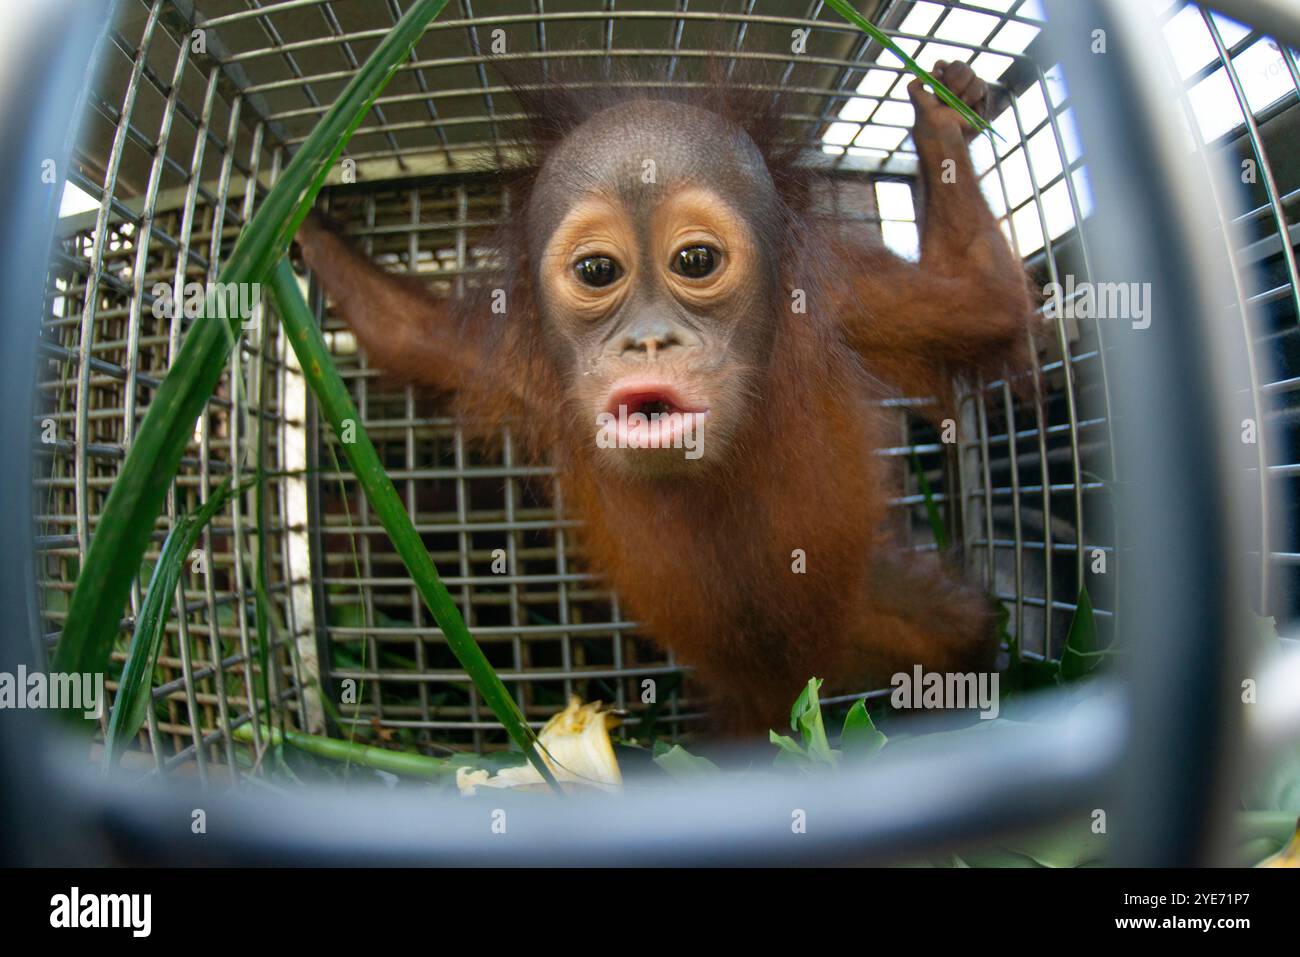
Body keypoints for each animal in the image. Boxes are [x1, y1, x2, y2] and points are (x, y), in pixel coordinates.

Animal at [295, 59, 1036, 737]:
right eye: (598, 270)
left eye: (695, 261)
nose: (649, 338)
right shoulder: (512, 362)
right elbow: (407, 335)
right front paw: (297, 215)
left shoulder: (853, 299)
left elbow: (982, 302)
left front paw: (938, 119)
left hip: (863, 617)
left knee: (962, 630)